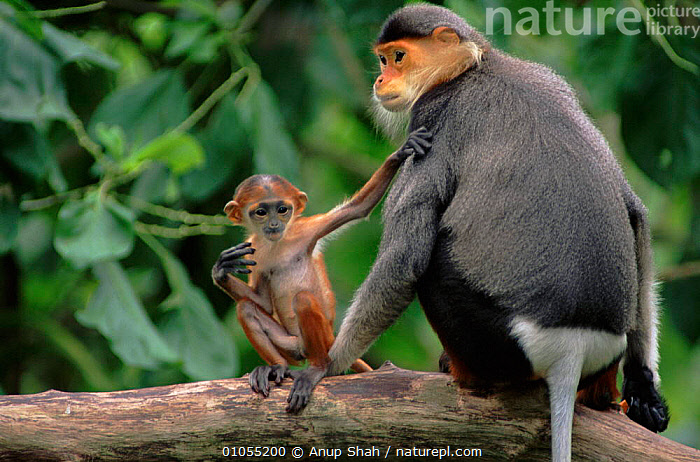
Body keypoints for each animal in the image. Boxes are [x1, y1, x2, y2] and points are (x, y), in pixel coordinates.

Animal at [212, 127, 432, 396]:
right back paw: (276, 367)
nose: (274, 224)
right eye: (261, 212)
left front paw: (399, 155)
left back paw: (317, 368)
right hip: (290, 346)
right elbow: (260, 301)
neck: (278, 244)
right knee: (246, 308)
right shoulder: (254, 250)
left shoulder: (305, 229)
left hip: (320, 341)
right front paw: (221, 271)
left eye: (283, 210)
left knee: (303, 300)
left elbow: (359, 208)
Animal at [286, 5, 669, 462]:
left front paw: (325, 368)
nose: (380, 80)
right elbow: (636, 212)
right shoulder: (554, 83)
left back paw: (461, 375)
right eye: (382, 60)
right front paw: (645, 388)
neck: (475, 66)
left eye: (398, 58)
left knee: (432, 265)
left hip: (498, 345)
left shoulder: (433, 120)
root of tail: (573, 348)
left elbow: (405, 261)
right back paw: (612, 394)